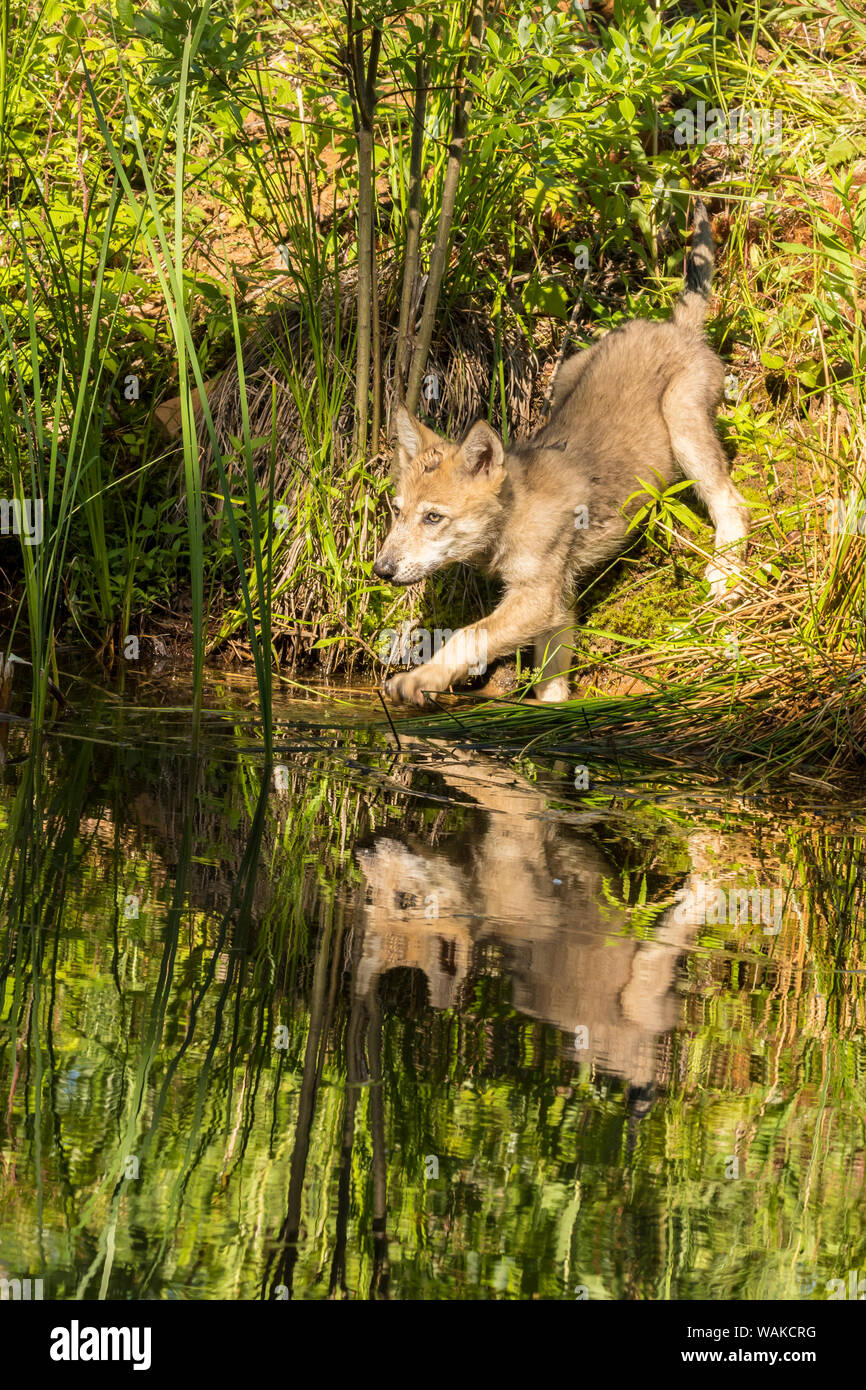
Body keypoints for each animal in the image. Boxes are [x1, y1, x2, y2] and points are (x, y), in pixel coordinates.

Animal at [373, 201, 749, 706]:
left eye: (433, 517)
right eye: (397, 512)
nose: (381, 570)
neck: (514, 515)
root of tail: (675, 326)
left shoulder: (538, 598)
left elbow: (467, 636)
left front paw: (419, 679)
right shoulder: (558, 605)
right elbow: (550, 681)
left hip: (682, 421)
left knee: (732, 501)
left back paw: (725, 576)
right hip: (569, 376)